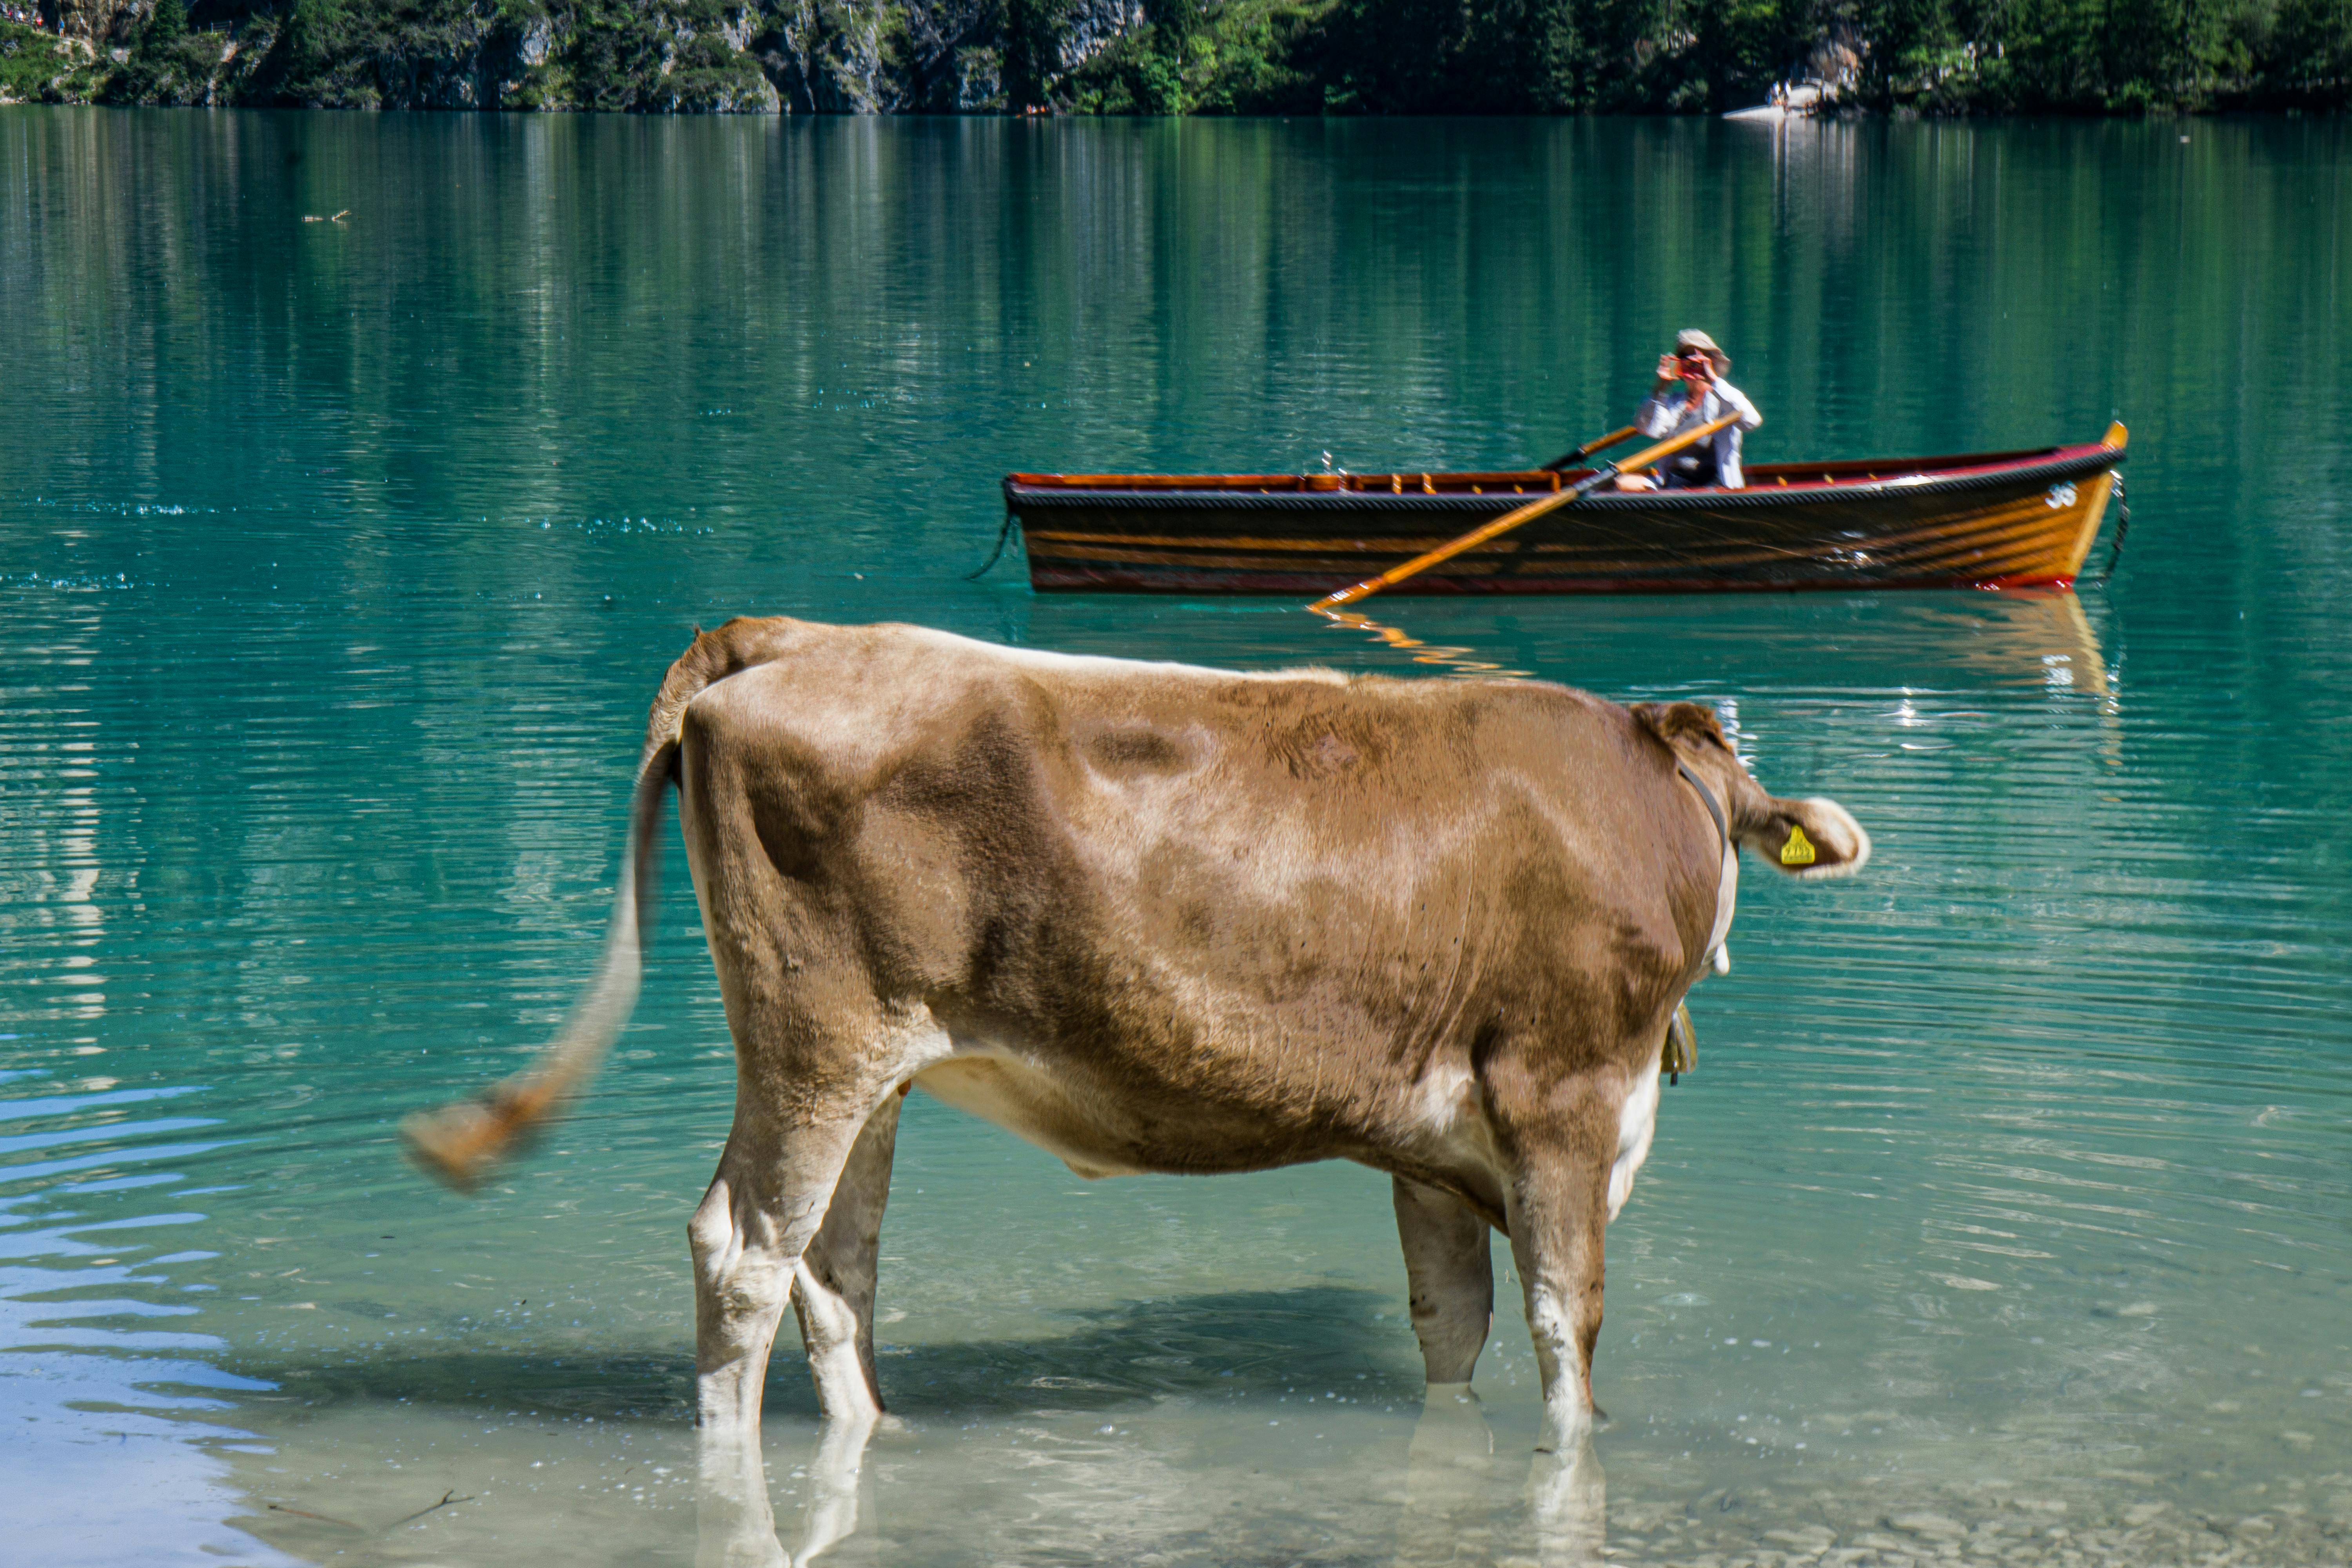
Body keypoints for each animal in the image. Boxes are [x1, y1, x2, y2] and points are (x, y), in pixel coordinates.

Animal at [403, 616, 1868, 1560]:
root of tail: (791, 637)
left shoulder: (1434, 1146)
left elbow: (1450, 1327)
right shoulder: (1562, 1098)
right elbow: (1569, 1328)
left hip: (872, 1067)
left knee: (836, 1263)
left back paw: (889, 1435)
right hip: (813, 1040)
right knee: (746, 1253)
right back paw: (731, 1475)